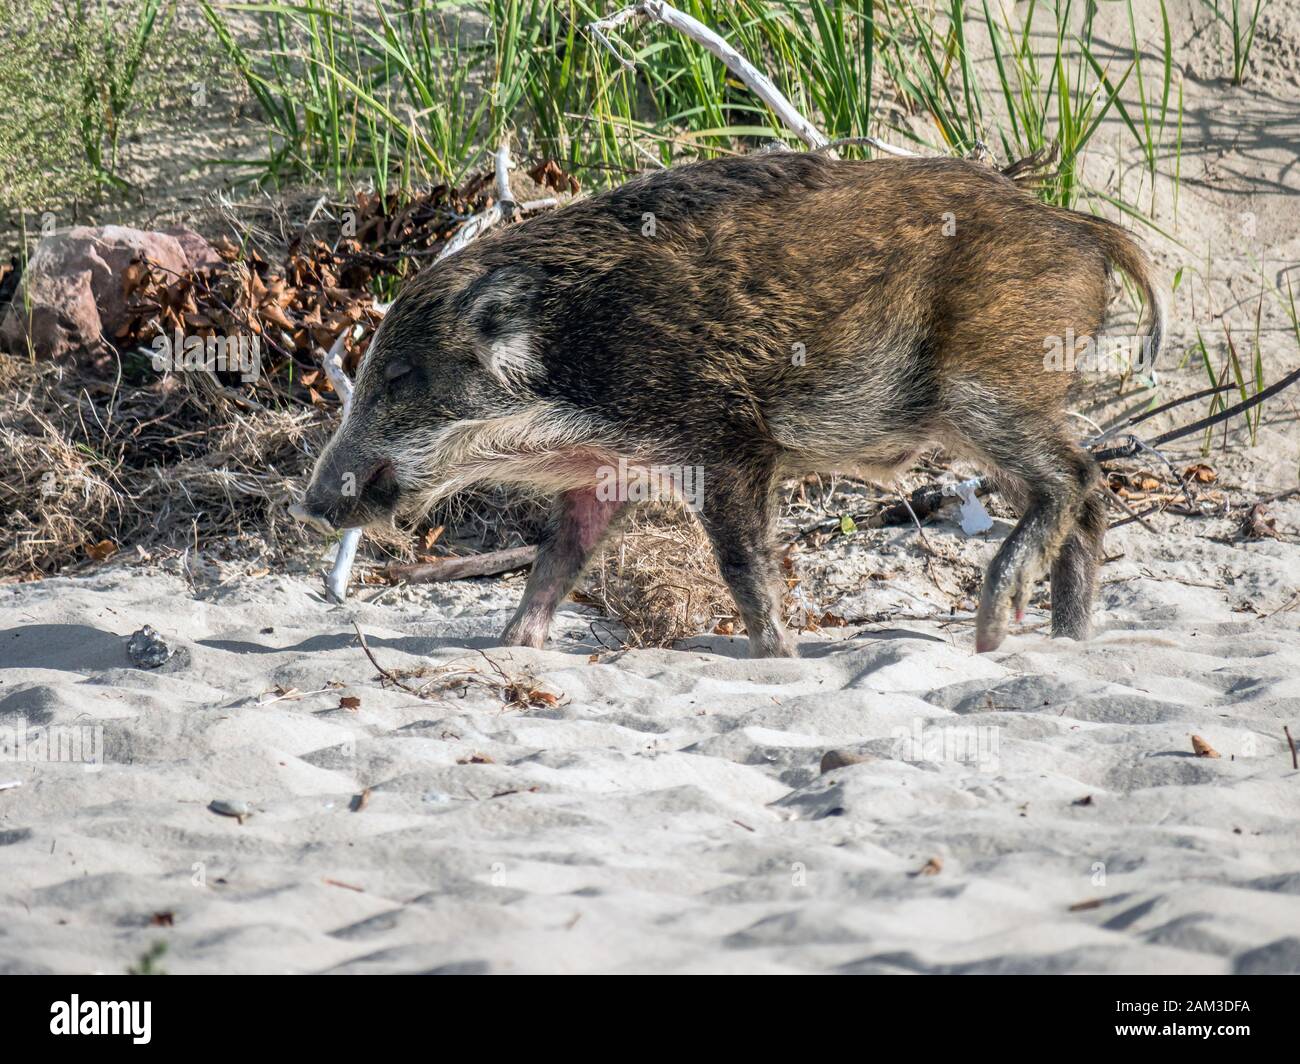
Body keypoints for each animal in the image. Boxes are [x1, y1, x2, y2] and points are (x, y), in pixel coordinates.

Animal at [292, 150, 1165, 657]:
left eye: (401, 376)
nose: (310, 504)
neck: (567, 351)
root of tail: (1084, 228)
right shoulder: (605, 471)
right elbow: (557, 559)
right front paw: (511, 648)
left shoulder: (731, 437)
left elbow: (743, 561)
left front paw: (779, 658)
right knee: (1089, 498)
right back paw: (1067, 643)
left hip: (990, 390)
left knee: (1078, 479)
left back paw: (992, 628)